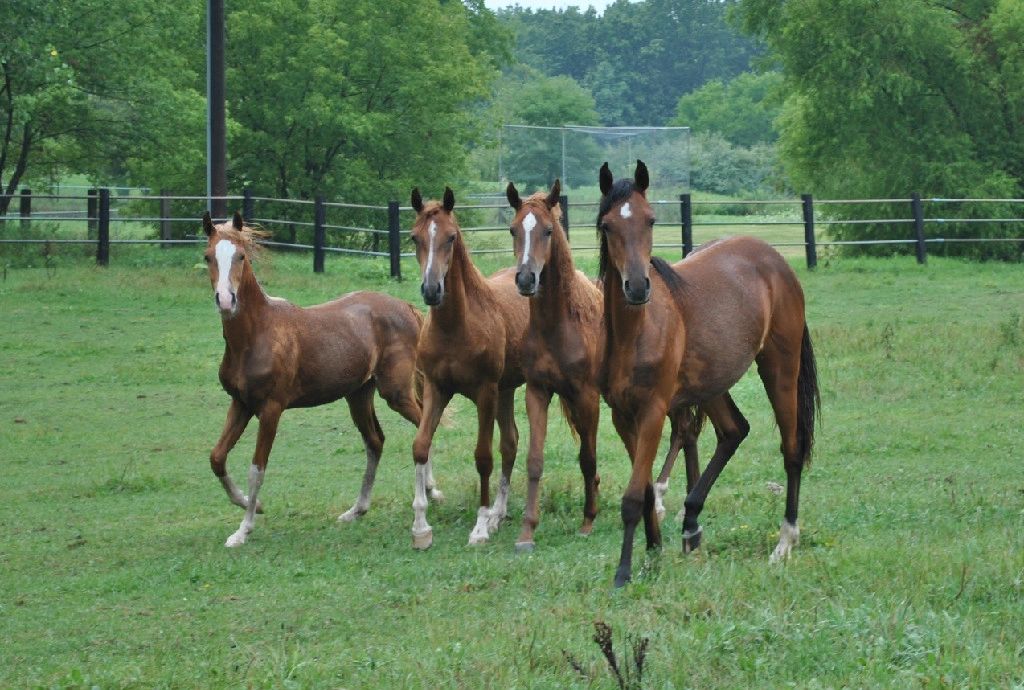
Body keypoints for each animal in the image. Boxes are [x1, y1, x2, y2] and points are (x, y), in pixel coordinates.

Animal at [202, 211, 440, 547]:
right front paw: (253, 505)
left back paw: (431, 491)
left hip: (395, 392)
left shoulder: (271, 410)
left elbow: (256, 470)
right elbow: (217, 457)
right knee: (375, 442)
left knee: (422, 427)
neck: (256, 335)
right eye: (208, 256)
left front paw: (243, 529)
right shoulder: (240, 404)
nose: (226, 300)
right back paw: (357, 510)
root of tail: (406, 308)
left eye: (241, 256)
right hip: (358, 395)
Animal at [408, 186, 529, 549]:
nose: (431, 289)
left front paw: (479, 527)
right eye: (414, 237)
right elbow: (421, 445)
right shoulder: (436, 389)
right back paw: (499, 514)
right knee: (511, 442)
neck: (456, 327)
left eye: (451, 237)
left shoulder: (484, 392)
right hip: (507, 390)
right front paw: (421, 527)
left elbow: (483, 456)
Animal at [506, 179, 706, 550]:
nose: (526, 279)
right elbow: (534, 460)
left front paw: (588, 519)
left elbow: (587, 458)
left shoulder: (587, 397)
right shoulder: (537, 392)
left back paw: (662, 499)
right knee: (685, 433)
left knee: (684, 431)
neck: (561, 322)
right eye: (514, 229)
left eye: (548, 230)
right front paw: (527, 530)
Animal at [596, 161, 820, 587]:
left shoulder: (653, 412)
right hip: (712, 384)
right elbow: (644, 489)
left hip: (779, 369)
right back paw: (691, 523)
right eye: (607, 225)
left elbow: (633, 496)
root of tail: (775, 260)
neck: (636, 332)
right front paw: (653, 553)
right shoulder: (622, 417)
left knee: (792, 449)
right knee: (734, 431)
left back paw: (785, 541)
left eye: (651, 220)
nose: (637, 286)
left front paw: (623, 571)